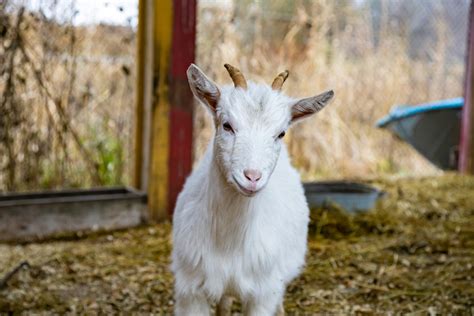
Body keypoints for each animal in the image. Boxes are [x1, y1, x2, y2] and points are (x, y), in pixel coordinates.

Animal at [171, 64, 334, 316]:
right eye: (227, 125)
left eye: (281, 133)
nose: (252, 177)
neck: (229, 243)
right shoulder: (191, 289)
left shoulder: (263, 292)